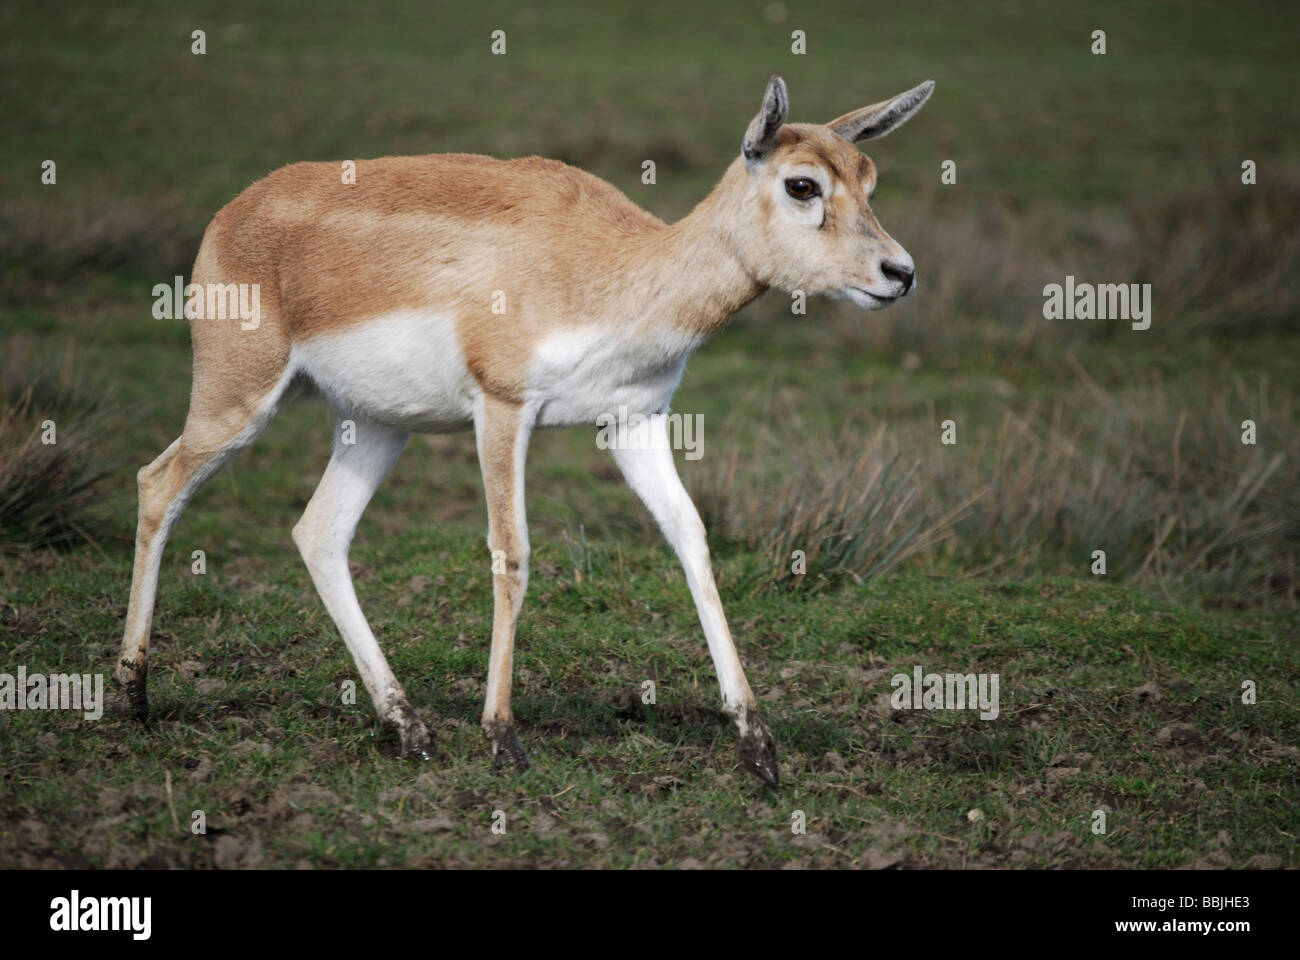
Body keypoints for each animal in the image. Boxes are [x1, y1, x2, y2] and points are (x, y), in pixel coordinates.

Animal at [116, 75, 933, 786]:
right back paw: (132, 698)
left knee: (318, 532)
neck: (611, 266)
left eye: (869, 179)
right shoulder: (504, 408)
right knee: (157, 484)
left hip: (375, 425)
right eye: (803, 184)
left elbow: (693, 541)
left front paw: (757, 745)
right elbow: (512, 555)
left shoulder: (633, 422)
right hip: (238, 400)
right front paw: (503, 738)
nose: (899, 273)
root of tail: (233, 213)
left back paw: (406, 726)